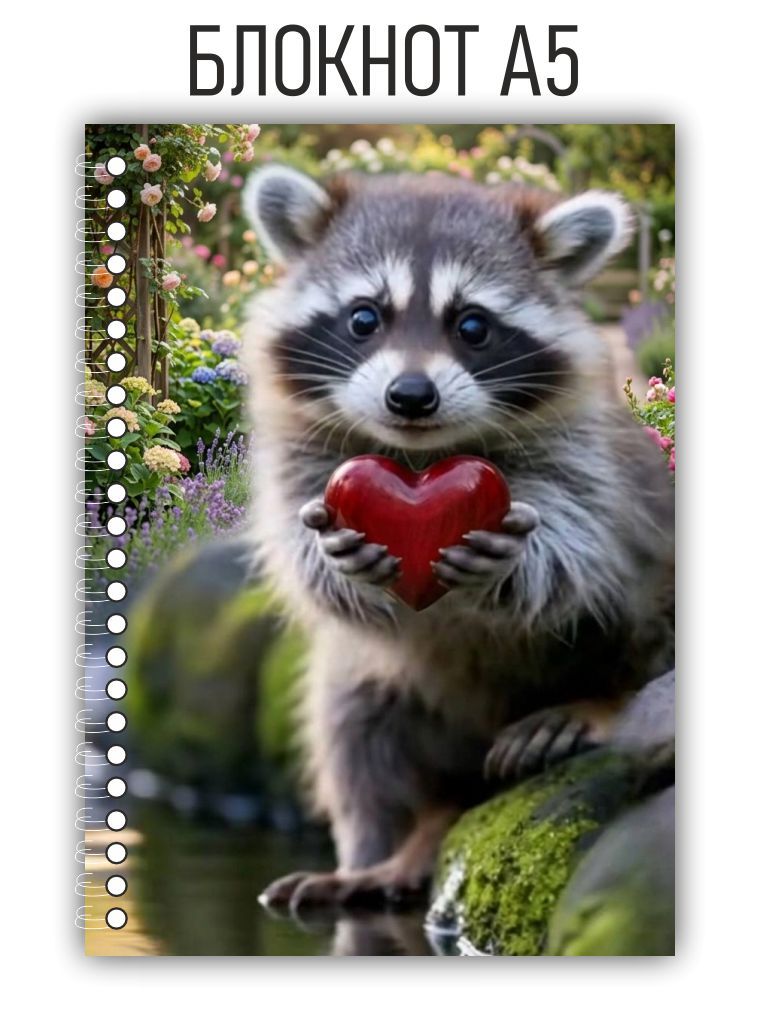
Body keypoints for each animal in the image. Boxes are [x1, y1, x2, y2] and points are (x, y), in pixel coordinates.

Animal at [242, 167, 674, 910]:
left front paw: (515, 563)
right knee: (353, 730)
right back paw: (376, 850)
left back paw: (604, 701)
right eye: (364, 317)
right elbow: (310, 568)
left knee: (649, 621)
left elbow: (584, 549)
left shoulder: (593, 462)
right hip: (383, 691)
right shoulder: (301, 454)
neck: (419, 456)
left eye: (473, 325)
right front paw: (336, 560)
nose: (411, 395)